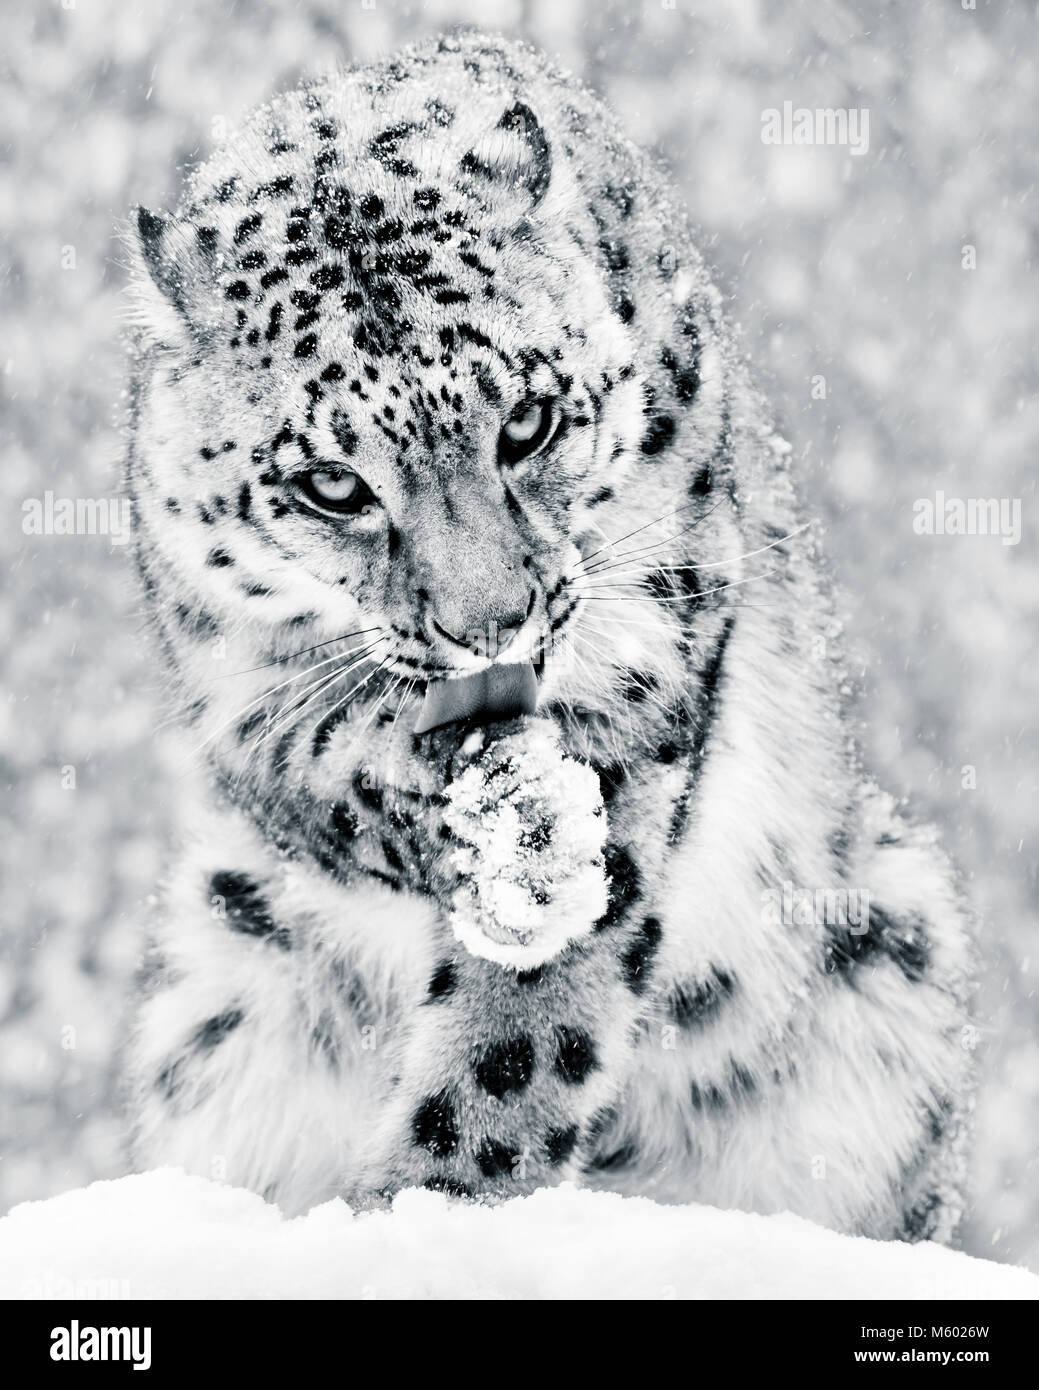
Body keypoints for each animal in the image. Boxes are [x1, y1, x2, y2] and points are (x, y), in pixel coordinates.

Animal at [122, 29, 974, 1241]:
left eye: (526, 420)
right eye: (332, 483)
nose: (491, 621)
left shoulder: (652, 634)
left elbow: (525, 1030)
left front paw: (441, 1202)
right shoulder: (237, 685)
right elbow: (329, 767)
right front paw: (494, 821)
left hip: (893, 940)